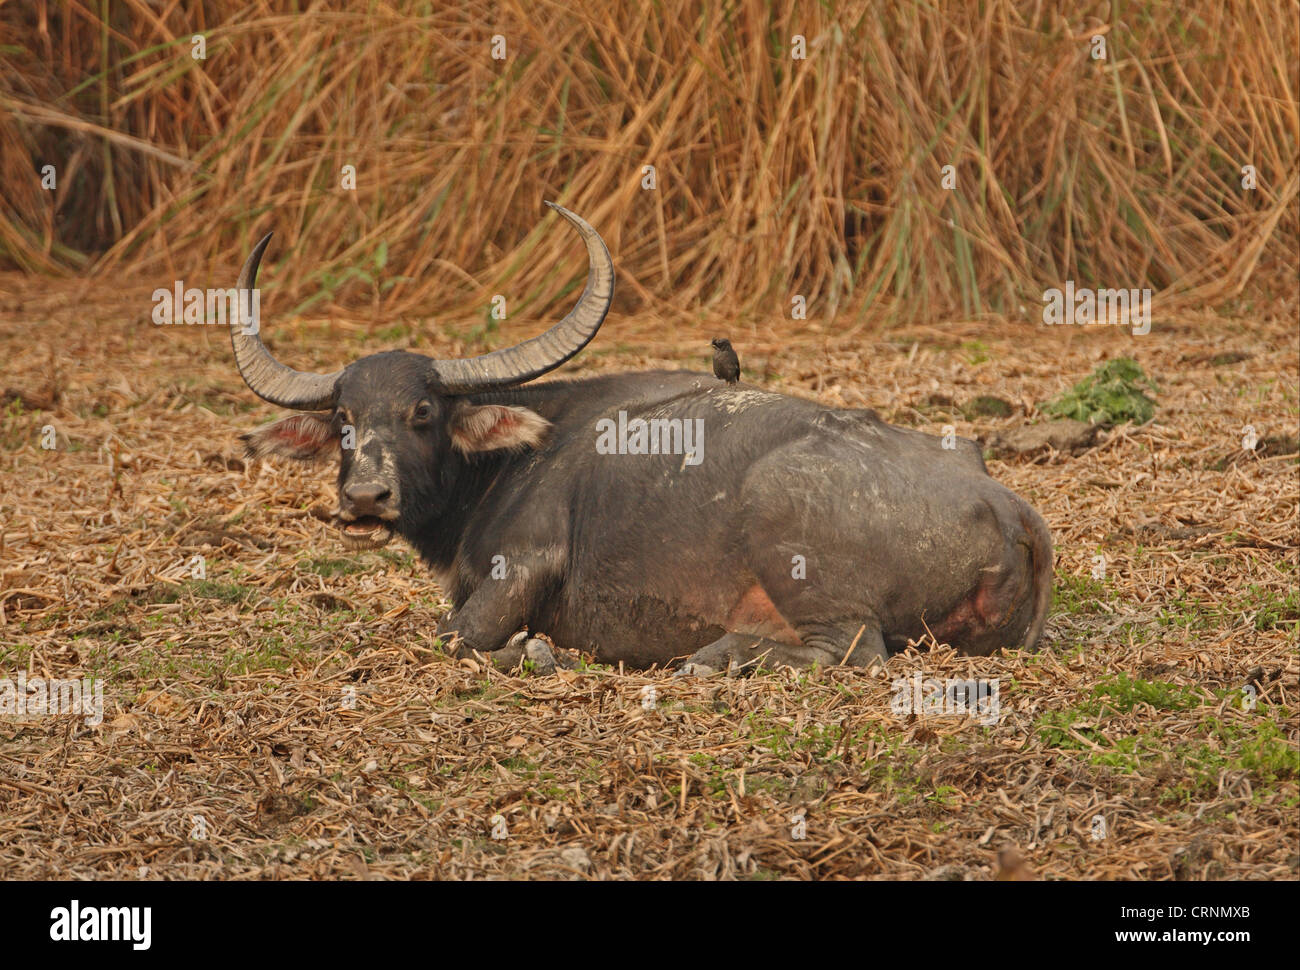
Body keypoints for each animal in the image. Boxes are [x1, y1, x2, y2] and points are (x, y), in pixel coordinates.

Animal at [232, 203, 1053, 674]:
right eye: (344, 417)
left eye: (423, 412)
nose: (366, 497)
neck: (504, 464)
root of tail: (1009, 508)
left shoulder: (519, 569)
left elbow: (456, 634)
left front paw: (534, 652)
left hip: (792, 541)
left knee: (853, 648)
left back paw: (716, 657)